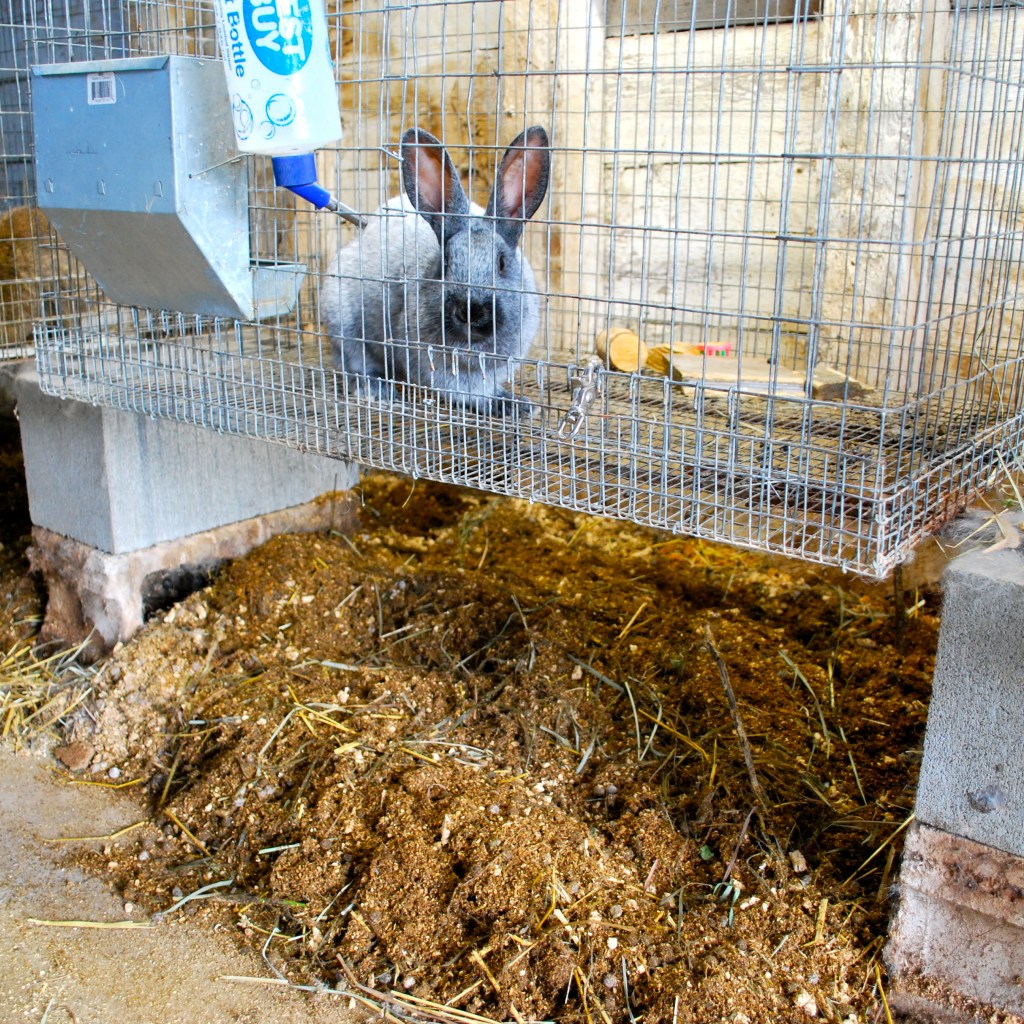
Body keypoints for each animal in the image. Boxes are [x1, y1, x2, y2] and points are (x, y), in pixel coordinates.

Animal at [321, 125, 550, 415]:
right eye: (446, 263)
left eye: (501, 263)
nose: (470, 310)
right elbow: (470, 395)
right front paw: (507, 403)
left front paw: (521, 405)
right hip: (343, 323)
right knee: (355, 365)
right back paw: (378, 390)